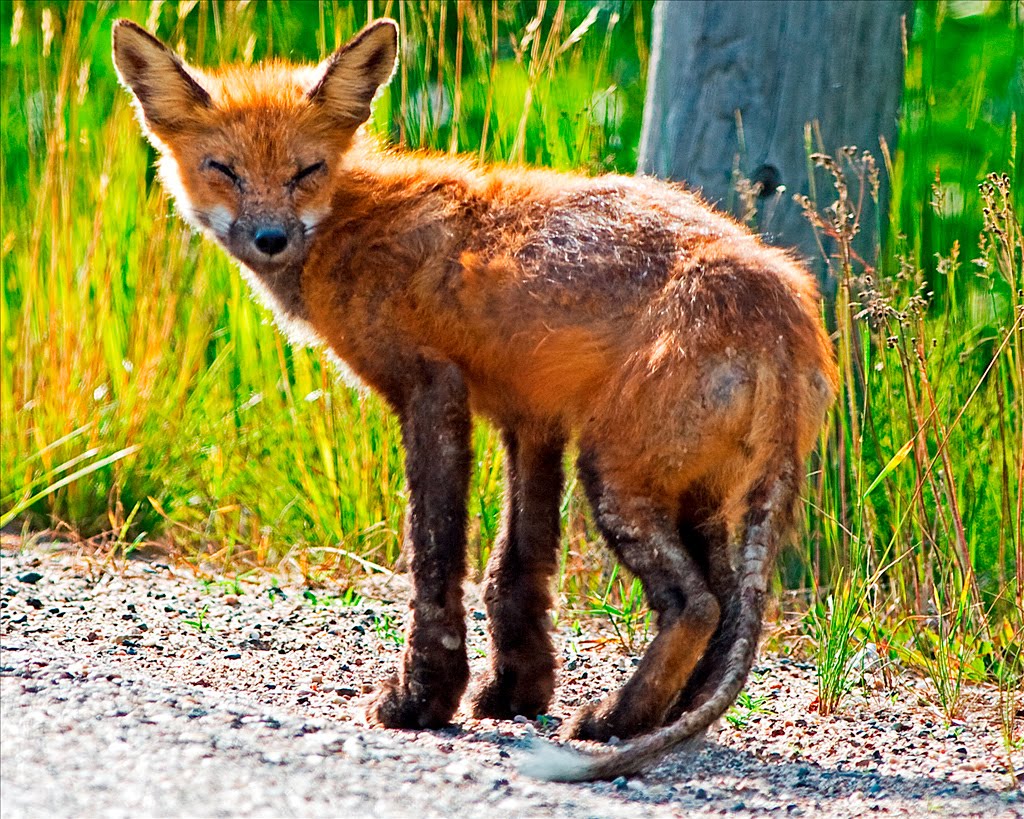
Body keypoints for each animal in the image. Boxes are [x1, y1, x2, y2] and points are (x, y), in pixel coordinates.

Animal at [112, 18, 837, 781]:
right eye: (224, 169)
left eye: (305, 171)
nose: (270, 237)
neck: (355, 222)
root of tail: (785, 308)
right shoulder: (533, 414)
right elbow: (516, 565)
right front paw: (515, 691)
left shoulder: (431, 392)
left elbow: (433, 556)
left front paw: (421, 699)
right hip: (699, 492)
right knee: (728, 612)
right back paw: (675, 718)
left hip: (616, 477)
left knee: (696, 607)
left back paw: (620, 721)